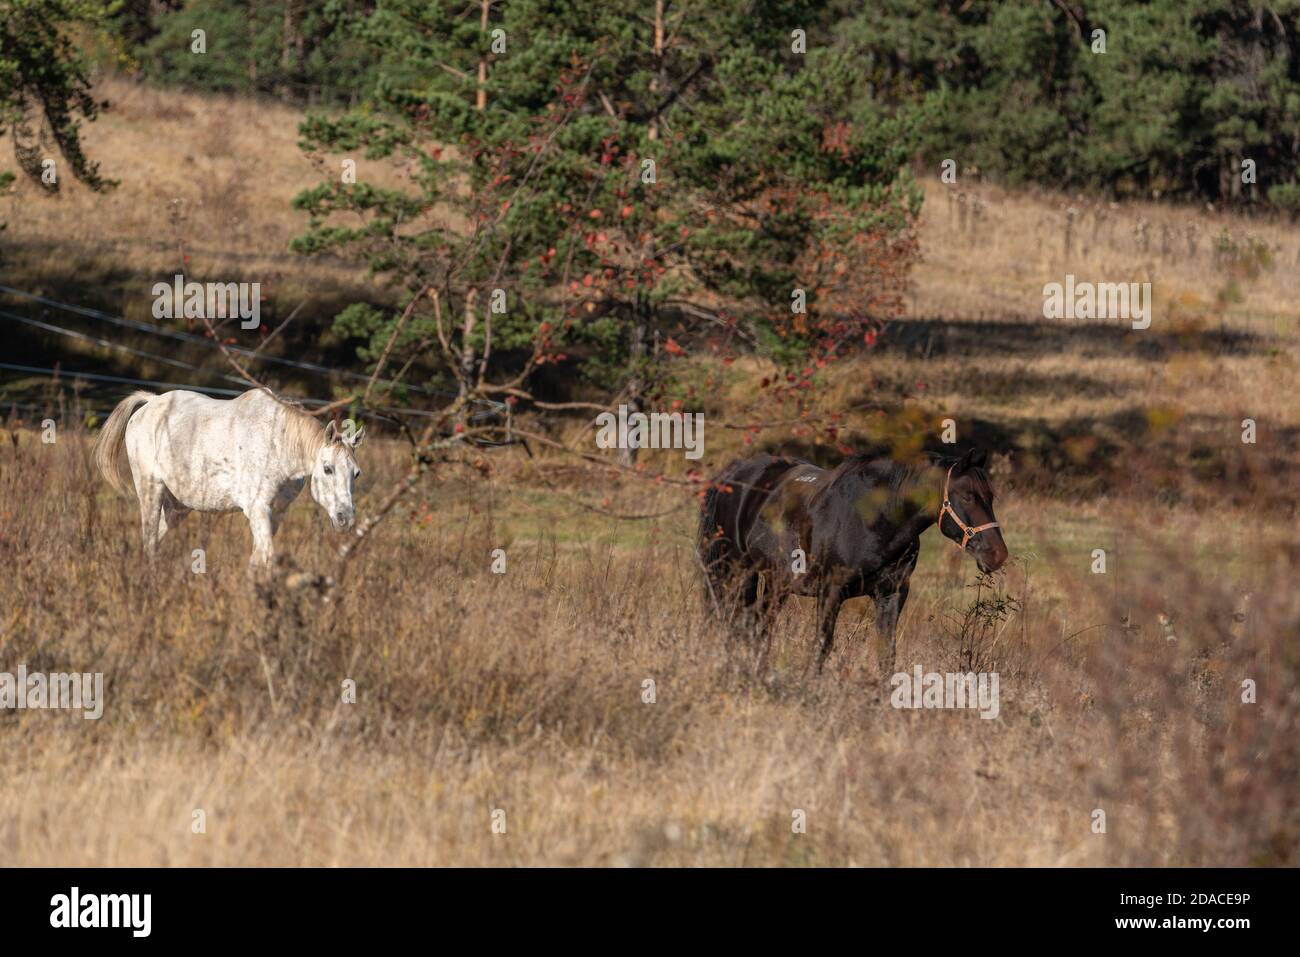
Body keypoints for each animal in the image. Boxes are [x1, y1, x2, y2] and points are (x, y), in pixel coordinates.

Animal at [93, 388, 365, 568]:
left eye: (356, 473)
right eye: (328, 469)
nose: (345, 518)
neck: (277, 441)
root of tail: (149, 403)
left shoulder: (276, 512)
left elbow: (258, 559)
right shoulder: (257, 508)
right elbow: (266, 557)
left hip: (177, 507)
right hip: (151, 490)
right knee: (149, 540)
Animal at [698, 447, 1008, 673]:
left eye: (991, 496)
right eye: (968, 496)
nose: (997, 554)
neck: (872, 519)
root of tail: (732, 473)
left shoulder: (892, 594)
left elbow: (886, 653)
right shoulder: (830, 591)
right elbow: (822, 645)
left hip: (775, 582)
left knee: (758, 625)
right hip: (733, 570)